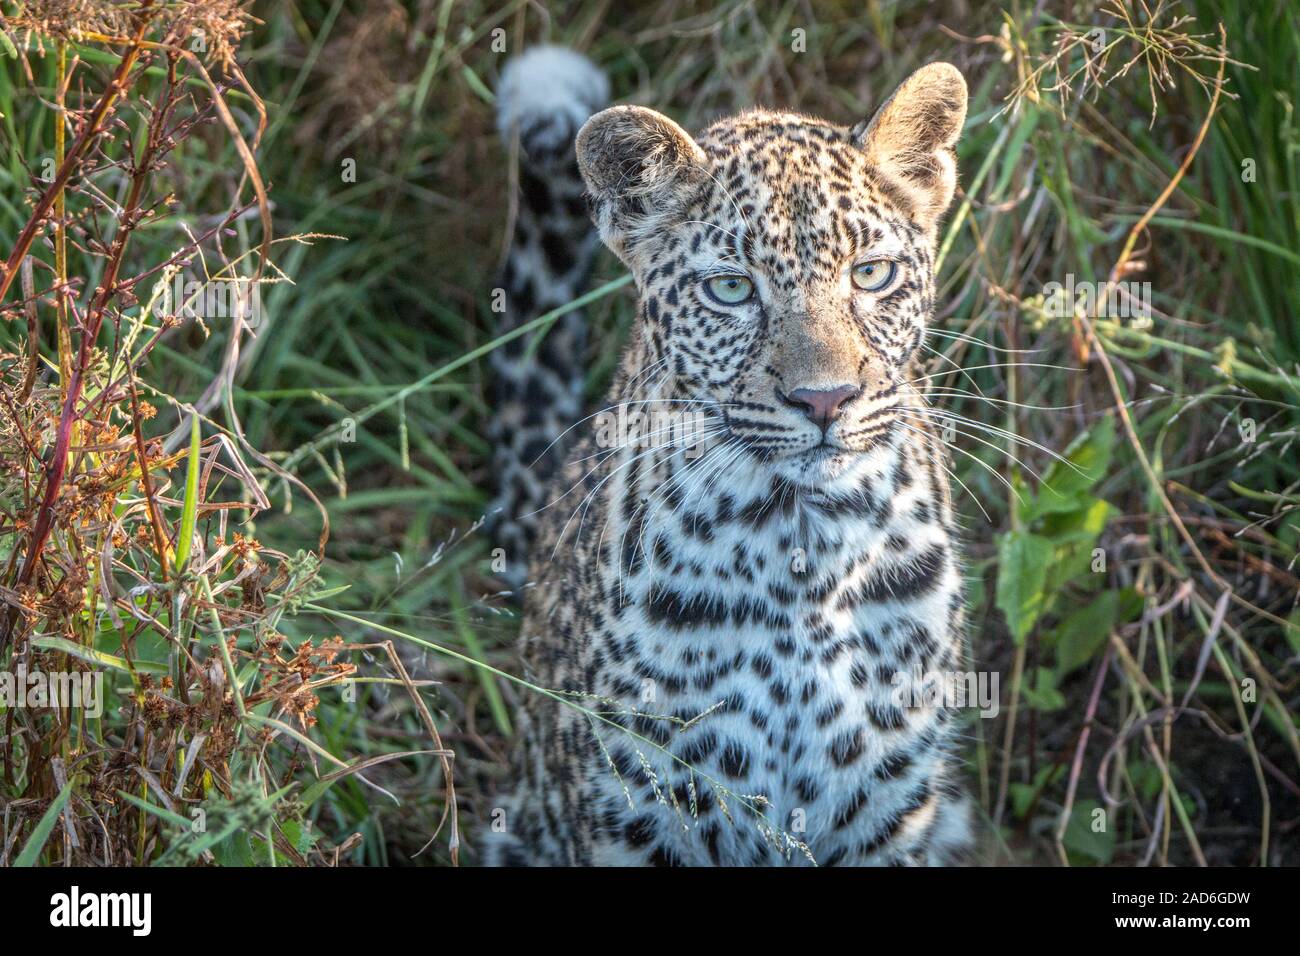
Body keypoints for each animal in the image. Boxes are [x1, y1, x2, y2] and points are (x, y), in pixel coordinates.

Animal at [484, 44, 975, 866]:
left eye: (871, 274)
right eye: (731, 290)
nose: (825, 400)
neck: (806, 554)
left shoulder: (888, 809)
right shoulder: (640, 810)